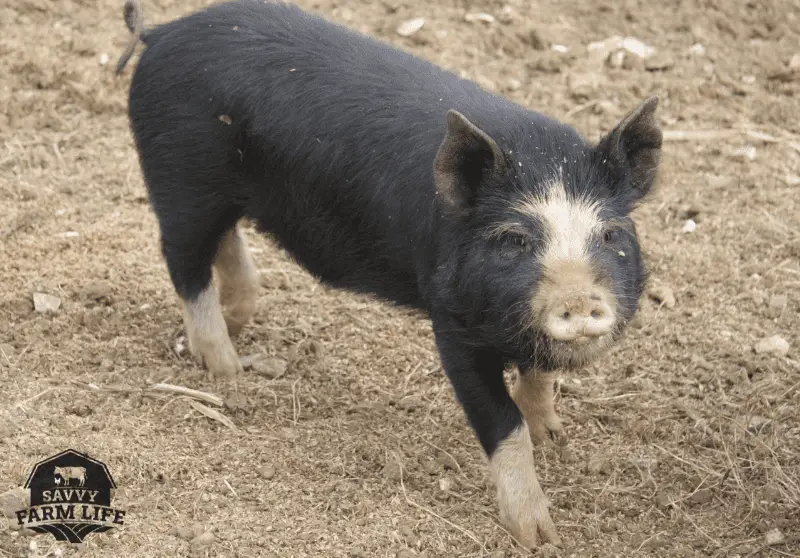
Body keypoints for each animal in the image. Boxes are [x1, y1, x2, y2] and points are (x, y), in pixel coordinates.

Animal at [117, 0, 661, 548]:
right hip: (178, 181)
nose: (579, 297)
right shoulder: (450, 320)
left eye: (610, 234)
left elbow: (539, 375)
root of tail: (162, 35)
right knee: (184, 262)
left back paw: (238, 326)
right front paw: (540, 537)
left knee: (225, 242)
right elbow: (502, 421)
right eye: (514, 239)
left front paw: (556, 437)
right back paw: (228, 371)